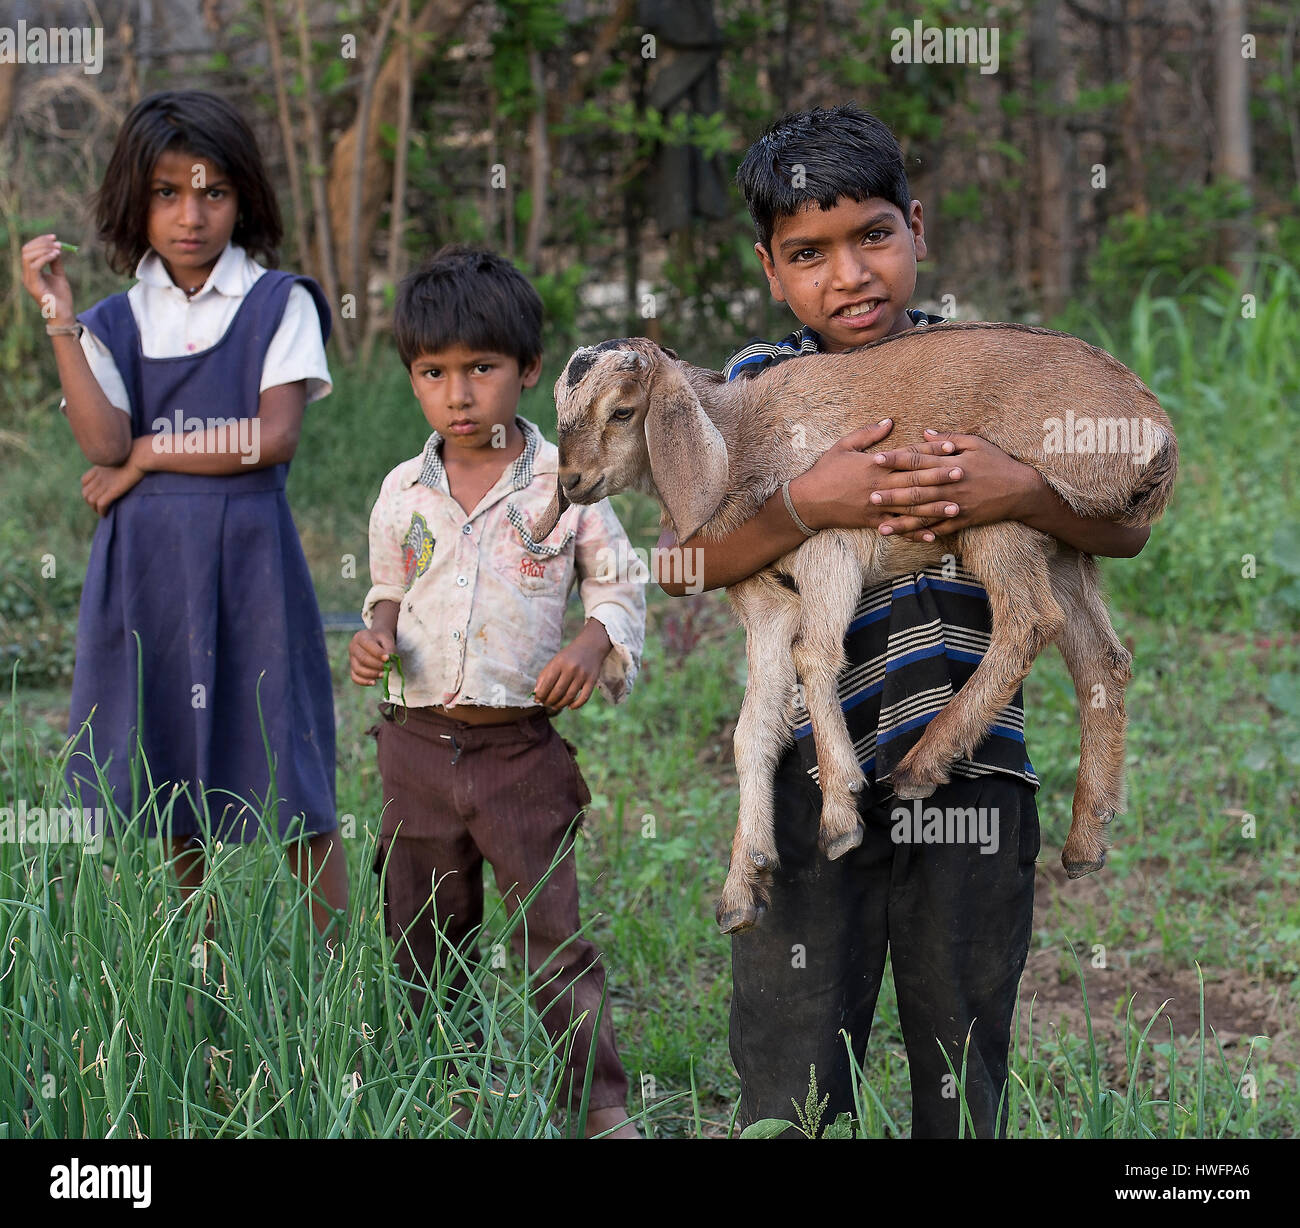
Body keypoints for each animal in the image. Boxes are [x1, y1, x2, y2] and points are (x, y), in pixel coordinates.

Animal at [532, 323, 1178, 934]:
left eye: (622, 410)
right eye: (561, 411)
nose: (574, 482)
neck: (739, 440)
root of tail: (1155, 429)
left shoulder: (831, 548)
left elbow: (813, 657)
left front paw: (840, 815)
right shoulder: (761, 598)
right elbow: (752, 728)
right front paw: (743, 886)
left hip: (997, 502)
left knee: (1031, 621)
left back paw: (923, 764)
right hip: (1064, 542)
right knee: (1103, 660)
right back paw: (1087, 839)